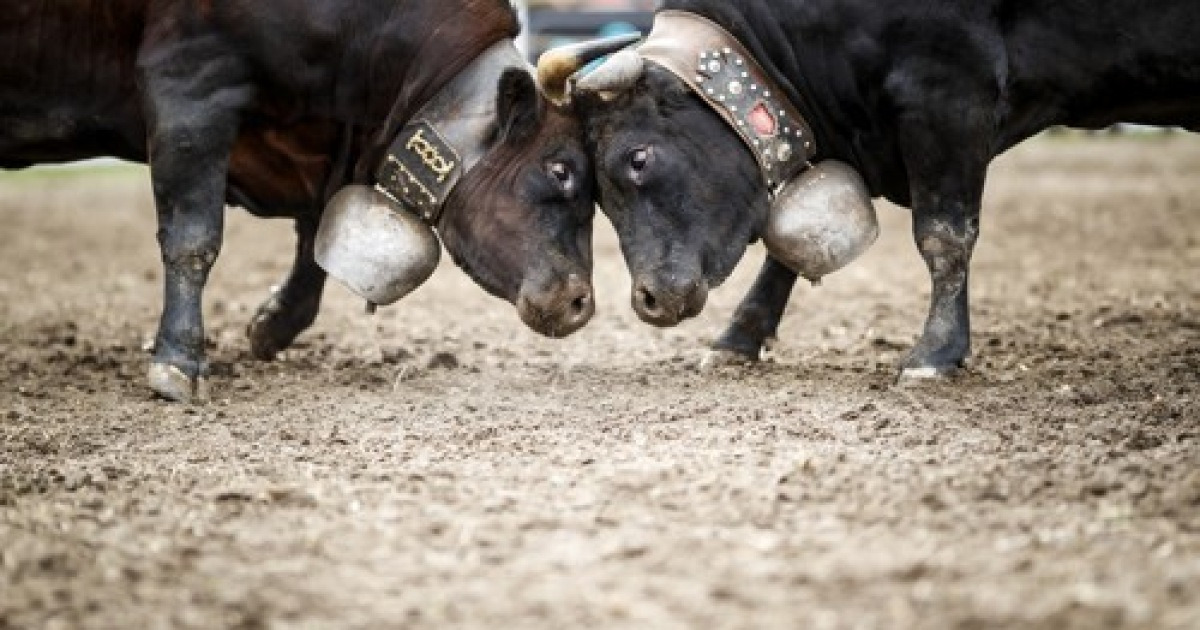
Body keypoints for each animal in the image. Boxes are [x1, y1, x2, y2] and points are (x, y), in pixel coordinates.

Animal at [1, 1, 630, 402]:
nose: (581, 302)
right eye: (560, 169)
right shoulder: (190, 86)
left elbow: (314, 232)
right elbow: (193, 237)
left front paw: (274, 324)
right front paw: (177, 360)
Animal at [565, 0, 1200, 377]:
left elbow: (944, 236)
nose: (647, 300)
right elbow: (786, 245)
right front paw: (738, 337)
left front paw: (935, 353)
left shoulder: (947, 91)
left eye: (637, 158)